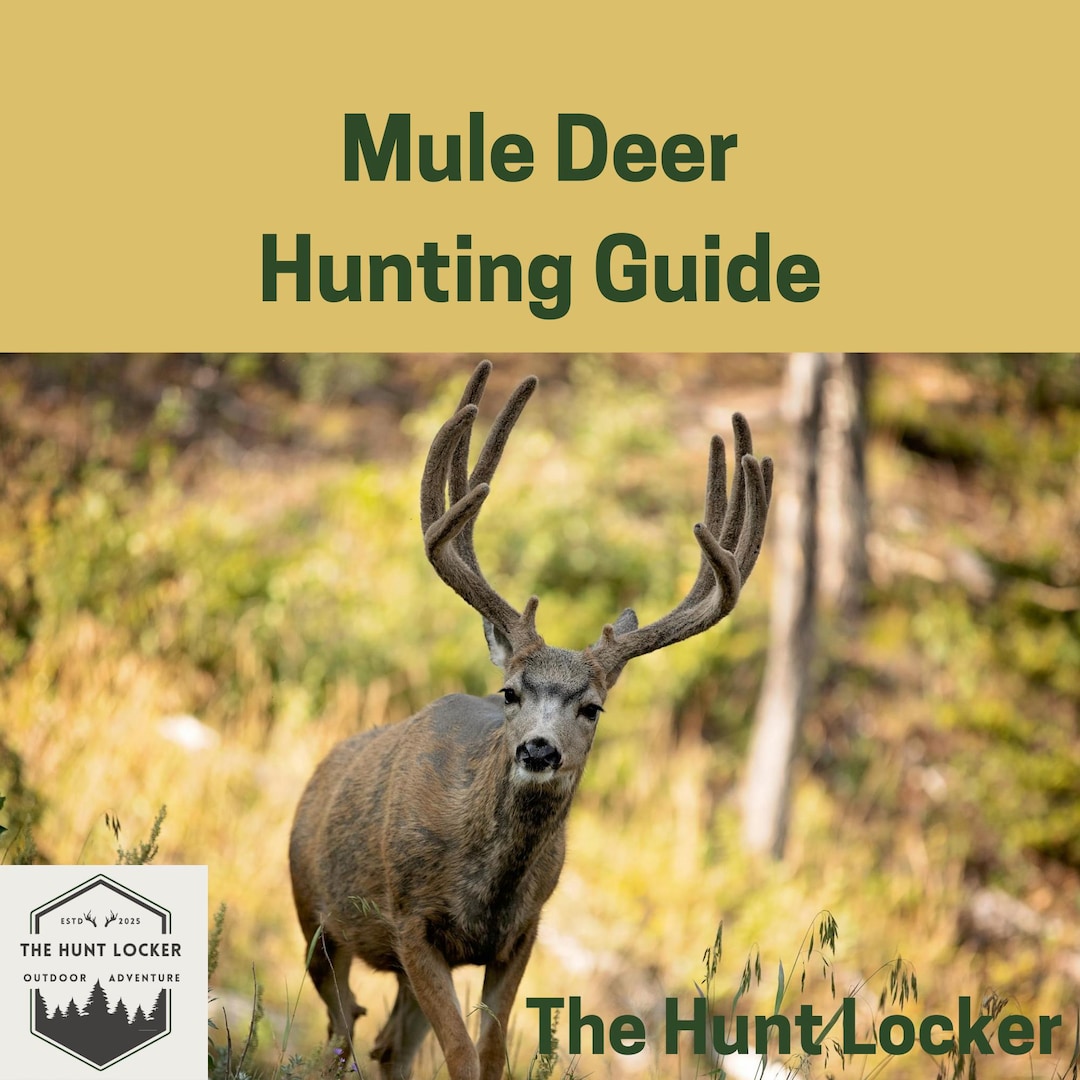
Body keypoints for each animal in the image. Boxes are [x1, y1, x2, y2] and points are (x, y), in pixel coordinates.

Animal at [288, 360, 773, 1080]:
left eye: (593, 707)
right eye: (510, 692)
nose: (540, 750)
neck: (485, 882)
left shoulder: (523, 932)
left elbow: (489, 1051)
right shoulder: (409, 920)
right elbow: (462, 1053)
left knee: (386, 1044)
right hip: (314, 918)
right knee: (342, 1029)